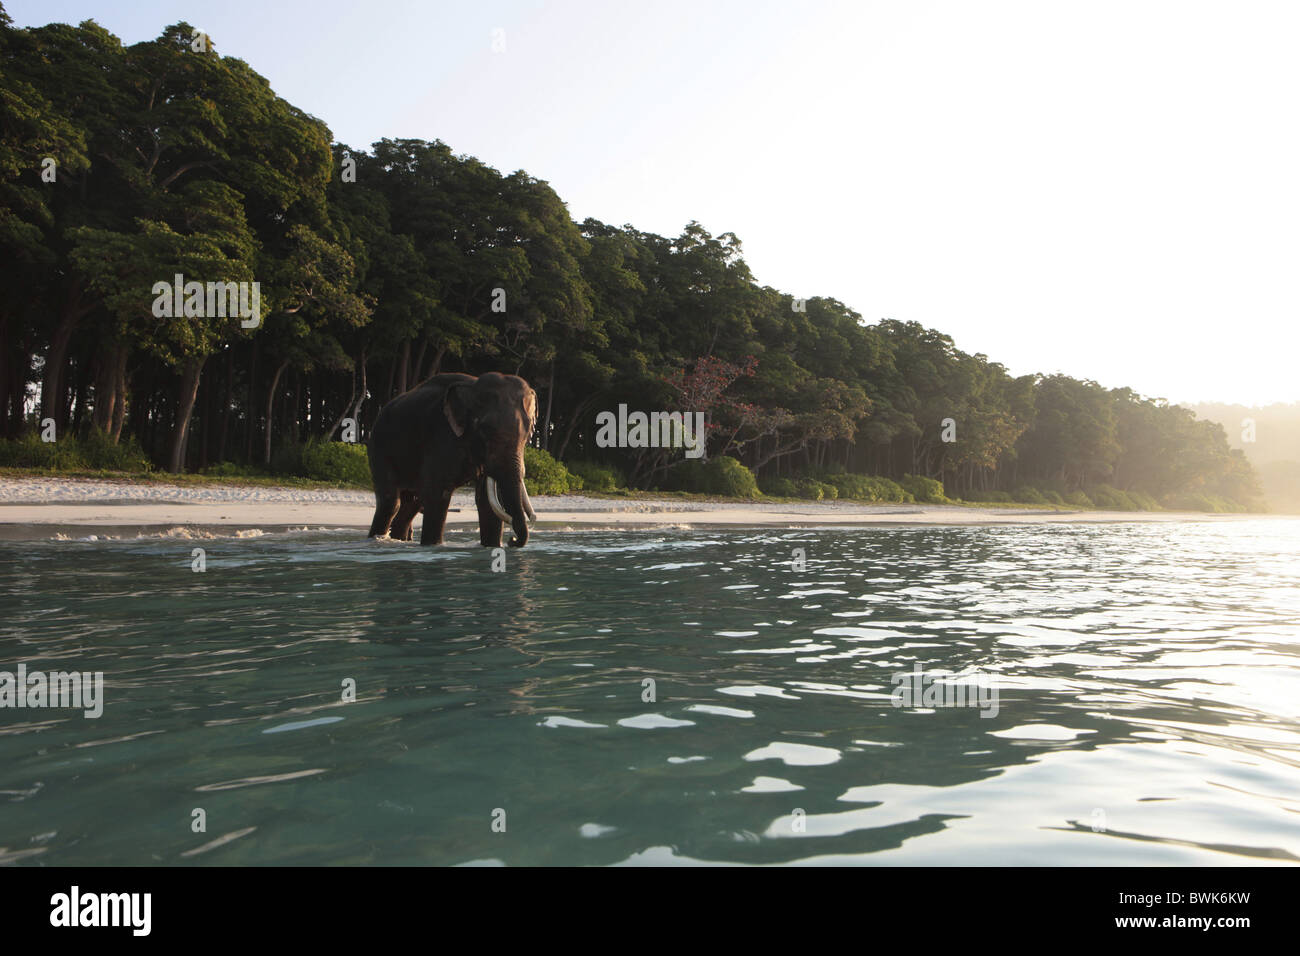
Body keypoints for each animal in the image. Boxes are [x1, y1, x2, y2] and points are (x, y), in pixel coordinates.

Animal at [367, 371, 539, 546]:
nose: (512, 540)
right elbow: (438, 495)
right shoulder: (441, 436)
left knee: (411, 504)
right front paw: (433, 545)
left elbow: (487, 502)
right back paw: (377, 539)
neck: (472, 387)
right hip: (378, 447)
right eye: (485, 429)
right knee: (390, 503)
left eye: (529, 432)